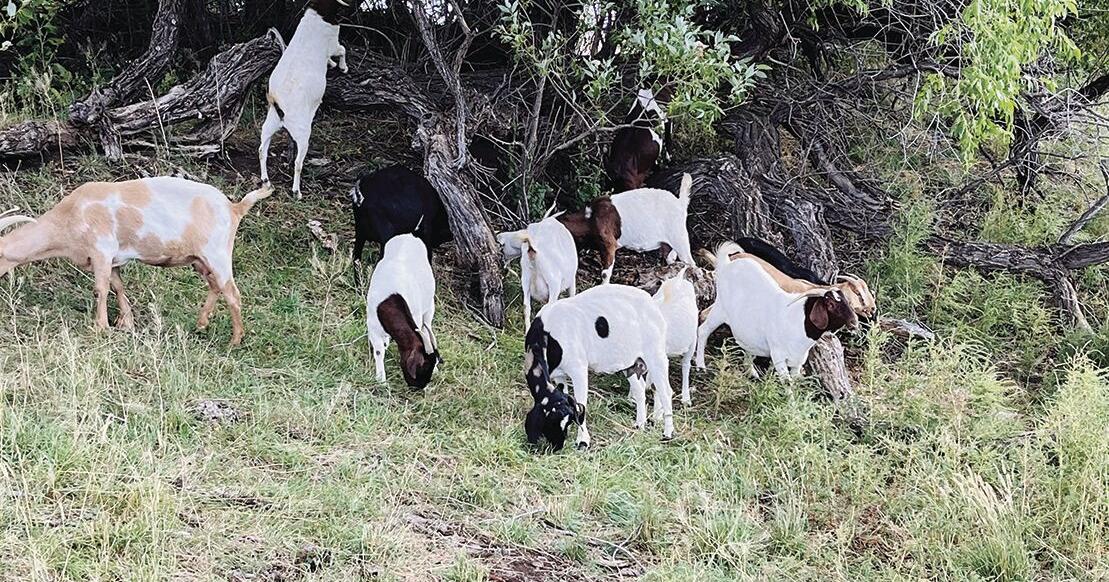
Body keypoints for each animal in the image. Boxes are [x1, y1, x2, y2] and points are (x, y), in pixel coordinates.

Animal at [0, 178, 272, 345]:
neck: (69, 217)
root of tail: (234, 208)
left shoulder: (101, 250)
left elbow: (100, 289)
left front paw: (100, 327)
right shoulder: (113, 259)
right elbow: (118, 287)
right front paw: (126, 324)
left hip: (217, 253)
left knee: (232, 293)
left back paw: (235, 340)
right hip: (199, 259)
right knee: (215, 286)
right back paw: (202, 323)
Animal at [259, 0, 350, 199]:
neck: (318, 13)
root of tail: (278, 104)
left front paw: (333, 64)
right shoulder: (333, 43)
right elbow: (342, 50)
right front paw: (342, 67)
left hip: (269, 125)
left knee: (262, 150)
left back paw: (266, 181)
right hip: (302, 132)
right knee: (298, 163)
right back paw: (297, 192)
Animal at [365, 234, 441, 388]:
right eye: (422, 367)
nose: (420, 386)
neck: (391, 300)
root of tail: (411, 234)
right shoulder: (372, 325)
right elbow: (379, 351)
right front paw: (381, 380)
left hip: (430, 306)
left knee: (427, 327)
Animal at [523, 284, 674, 450]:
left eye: (567, 422)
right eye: (550, 421)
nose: (558, 446)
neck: (547, 336)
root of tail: (652, 302)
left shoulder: (578, 369)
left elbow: (582, 402)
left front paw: (583, 442)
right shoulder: (559, 375)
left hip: (655, 354)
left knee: (666, 391)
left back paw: (667, 434)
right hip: (630, 364)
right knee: (640, 389)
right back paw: (639, 425)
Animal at [695, 242, 857, 380]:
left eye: (846, 300)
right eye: (830, 303)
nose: (854, 321)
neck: (798, 322)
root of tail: (726, 264)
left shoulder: (796, 362)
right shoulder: (779, 357)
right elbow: (787, 385)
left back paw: (752, 372)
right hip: (720, 308)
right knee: (703, 330)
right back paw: (700, 366)